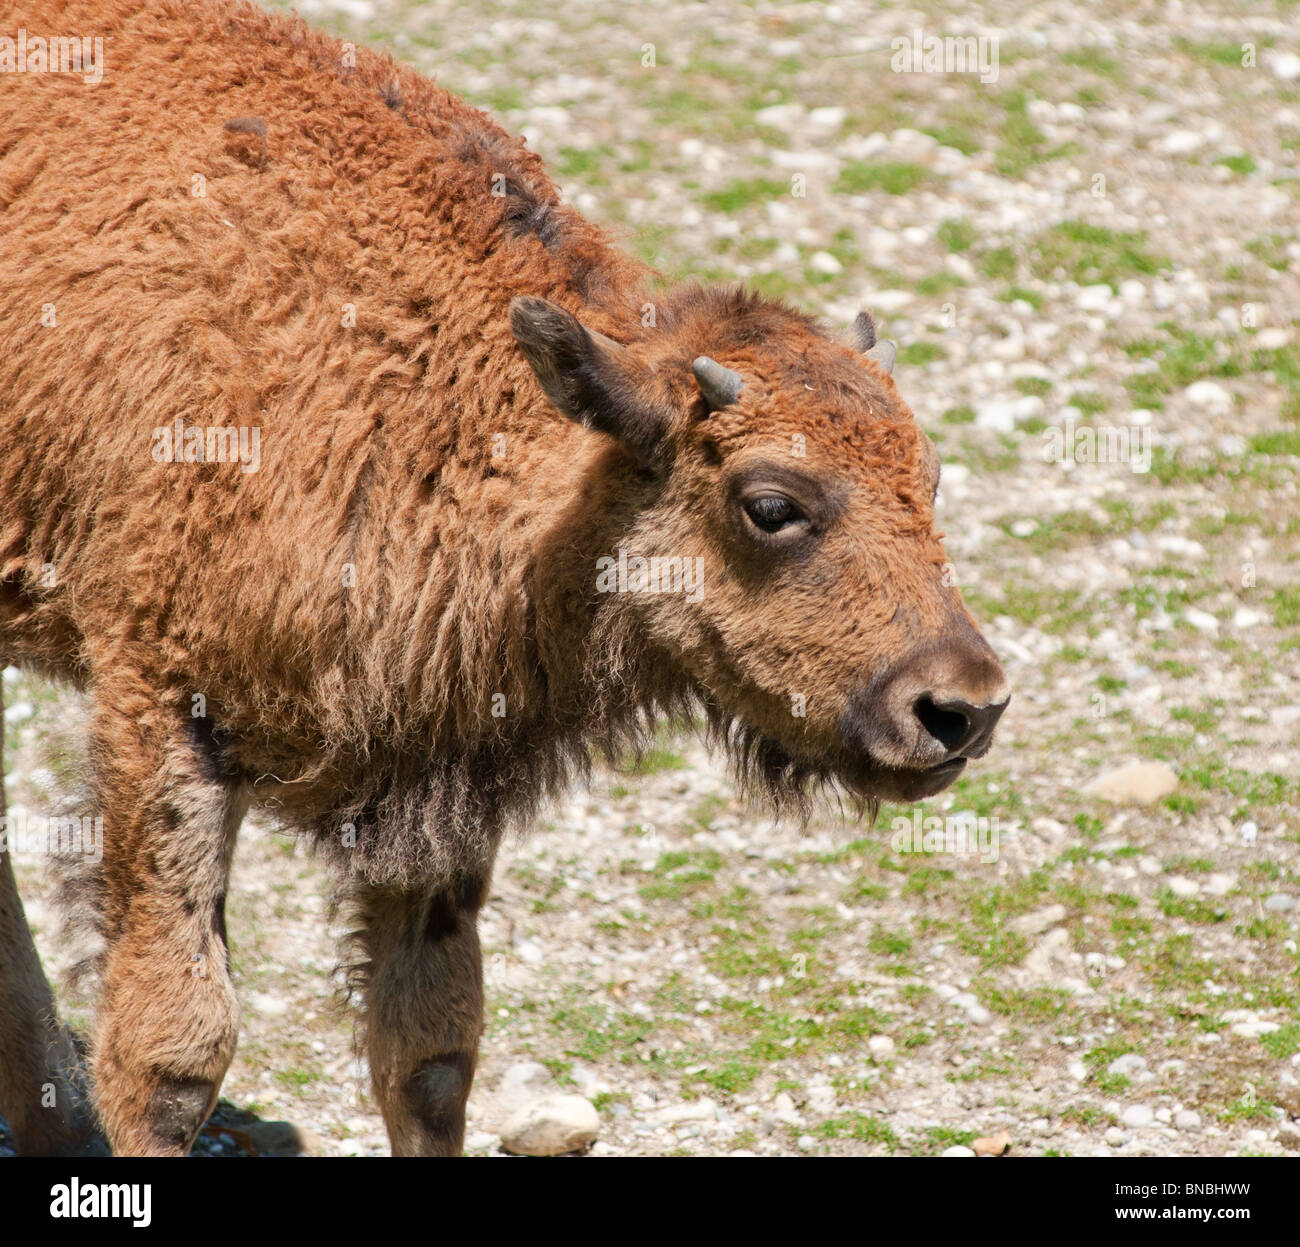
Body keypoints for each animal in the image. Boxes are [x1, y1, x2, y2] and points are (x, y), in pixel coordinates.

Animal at [0, 0, 1003, 1154]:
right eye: (770, 503)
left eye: (930, 476)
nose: (960, 707)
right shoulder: (163, 709)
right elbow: (173, 1046)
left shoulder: (441, 775)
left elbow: (429, 1048)